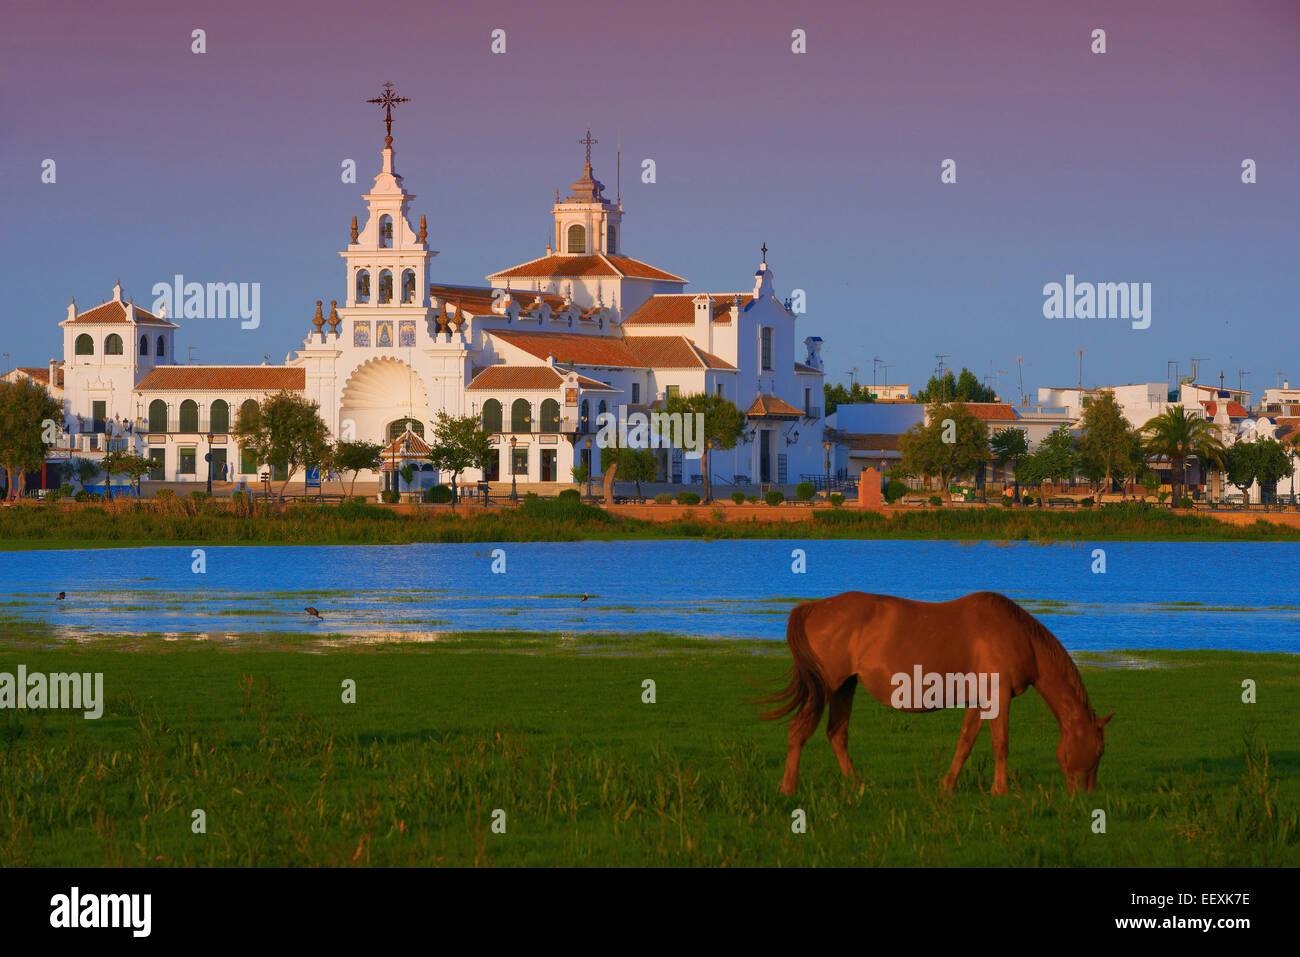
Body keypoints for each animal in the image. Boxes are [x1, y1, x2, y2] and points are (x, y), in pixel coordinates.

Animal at [759, 595, 1112, 795]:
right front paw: (1000, 790)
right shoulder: (997, 695)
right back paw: (788, 788)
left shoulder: (979, 699)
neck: (1019, 636)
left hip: (846, 686)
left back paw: (856, 785)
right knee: (799, 731)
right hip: (825, 687)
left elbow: (965, 742)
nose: (1086, 794)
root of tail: (812, 608)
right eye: (1098, 751)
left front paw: (947, 785)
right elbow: (1001, 743)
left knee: (837, 734)